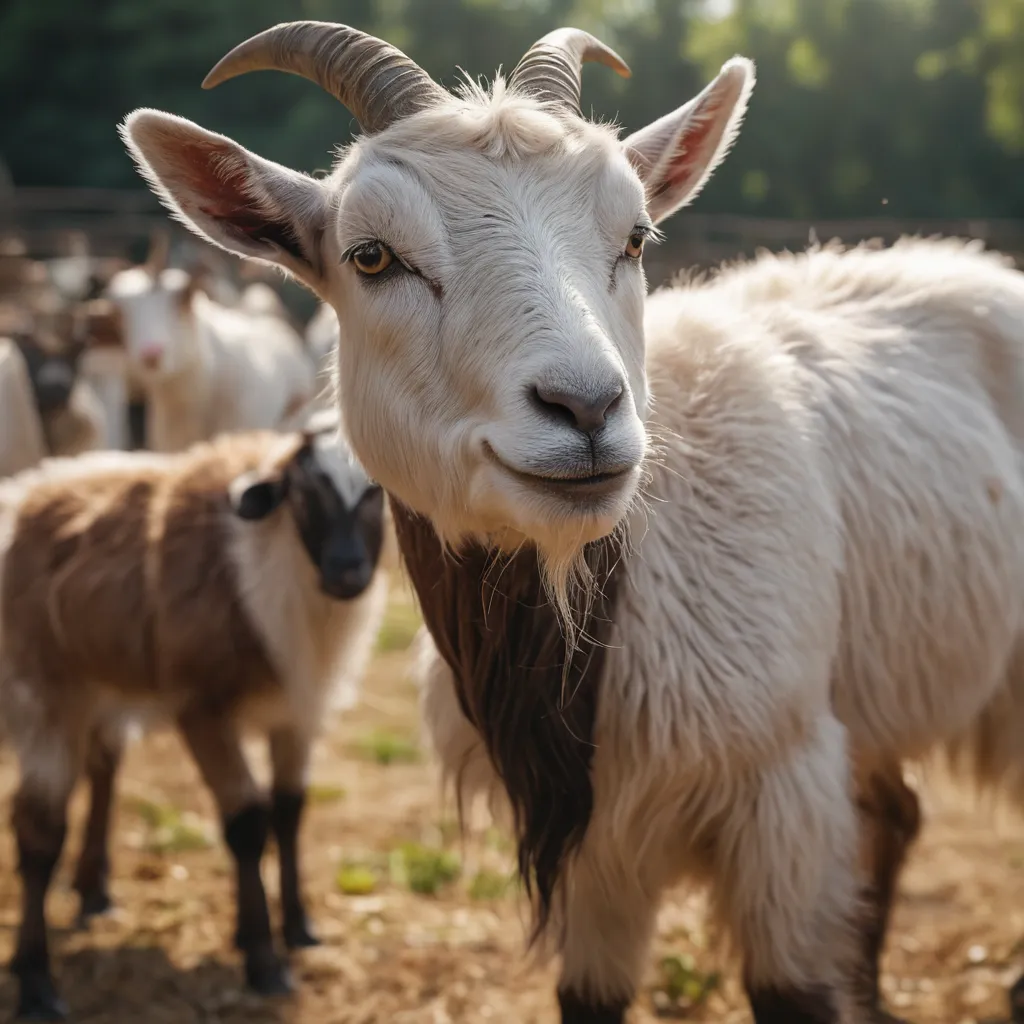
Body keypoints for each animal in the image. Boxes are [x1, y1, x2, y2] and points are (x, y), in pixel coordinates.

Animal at [0, 425, 389, 1019]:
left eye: (377, 494)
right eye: (303, 494)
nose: (347, 572)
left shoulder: (294, 712)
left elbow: (289, 811)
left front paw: (299, 929)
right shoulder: (200, 706)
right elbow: (248, 823)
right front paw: (262, 960)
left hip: (95, 688)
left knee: (102, 771)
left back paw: (94, 893)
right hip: (42, 693)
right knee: (39, 832)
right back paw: (38, 983)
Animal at [119, 20, 1024, 1023]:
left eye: (635, 237)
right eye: (372, 256)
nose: (586, 407)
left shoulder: (781, 792)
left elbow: (793, 992)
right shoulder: (601, 845)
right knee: (897, 816)